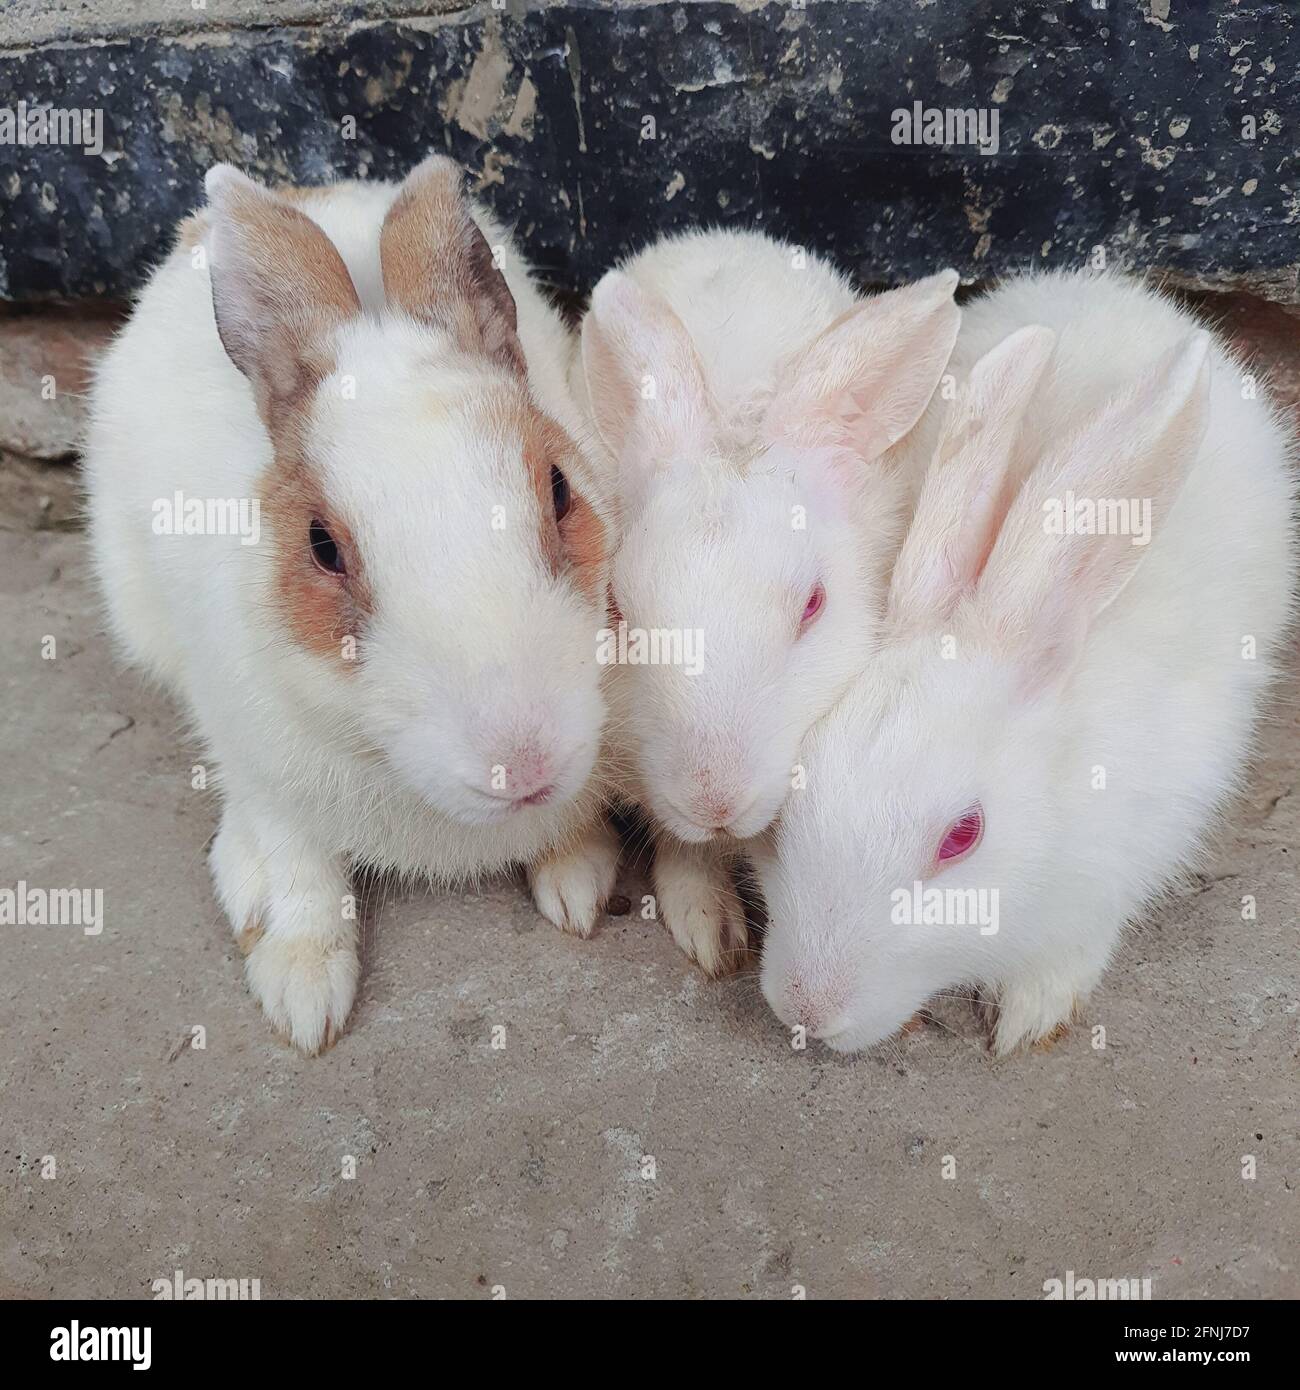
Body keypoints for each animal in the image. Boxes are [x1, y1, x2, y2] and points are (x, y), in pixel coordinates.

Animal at [84, 155, 621, 1054]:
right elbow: (301, 869)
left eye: (559, 490)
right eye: (322, 547)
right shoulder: (264, 764)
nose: (524, 767)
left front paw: (577, 881)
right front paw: (304, 995)